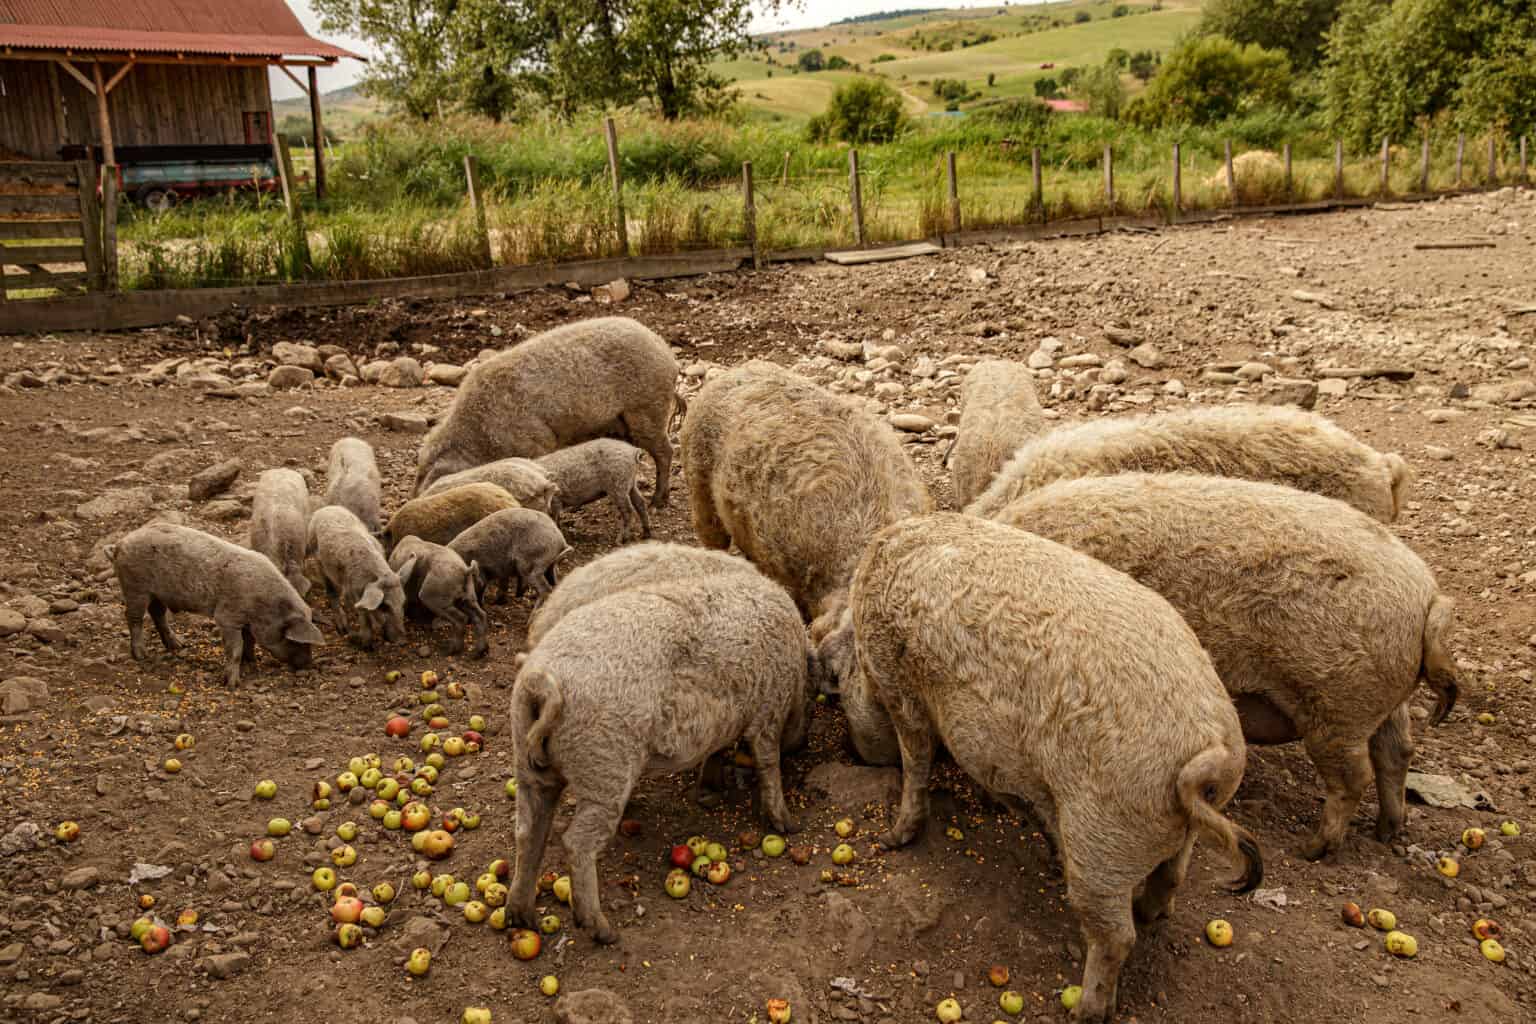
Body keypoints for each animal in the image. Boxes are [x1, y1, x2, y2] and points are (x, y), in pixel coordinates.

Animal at [106, 522, 324, 686]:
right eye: (293, 640)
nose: (309, 664)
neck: (263, 605)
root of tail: (119, 544)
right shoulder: (227, 617)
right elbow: (235, 648)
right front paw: (232, 684)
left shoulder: (245, 621)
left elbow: (249, 641)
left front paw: (252, 662)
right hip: (135, 587)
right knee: (133, 618)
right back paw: (142, 656)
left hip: (157, 593)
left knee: (157, 613)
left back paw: (178, 645)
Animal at [307, 505, 410, 649]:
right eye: (384, 606)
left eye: (403, 602)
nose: (403, 642)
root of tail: (326, 508)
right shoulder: (354, 590)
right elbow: (365, 619)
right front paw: (364, 645)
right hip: (319, 560)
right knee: (332, 591)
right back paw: (343, 629)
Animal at [509, 573, 816, 944]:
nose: (803, 743)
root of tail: (540, 681)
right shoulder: (769, 707)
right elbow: (768, 763)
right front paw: (789, 825)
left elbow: (717, 750)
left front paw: (710, 792)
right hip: (605, 769)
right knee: (576, 842)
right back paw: (604, 932)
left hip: (527, 764)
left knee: (527, 832)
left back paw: (521, 919)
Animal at [820, 513, 1260, 1023]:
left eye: (844, 669)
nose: (818, 661)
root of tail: (1212, 749)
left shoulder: (898, 683)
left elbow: (916, 758)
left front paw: (892, 840)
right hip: (1172, 831)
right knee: (1171, 878)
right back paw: (1148, 914)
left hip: (1105, 838)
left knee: (1115, 936)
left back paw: (1084, 1011)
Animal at [989, 473, 1459, 859]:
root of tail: (1429, 596)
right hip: (1383, 700)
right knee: (1397, 751)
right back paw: (1387, 832)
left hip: (1338, 702)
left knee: (1353, 776)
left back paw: (1312, 849)